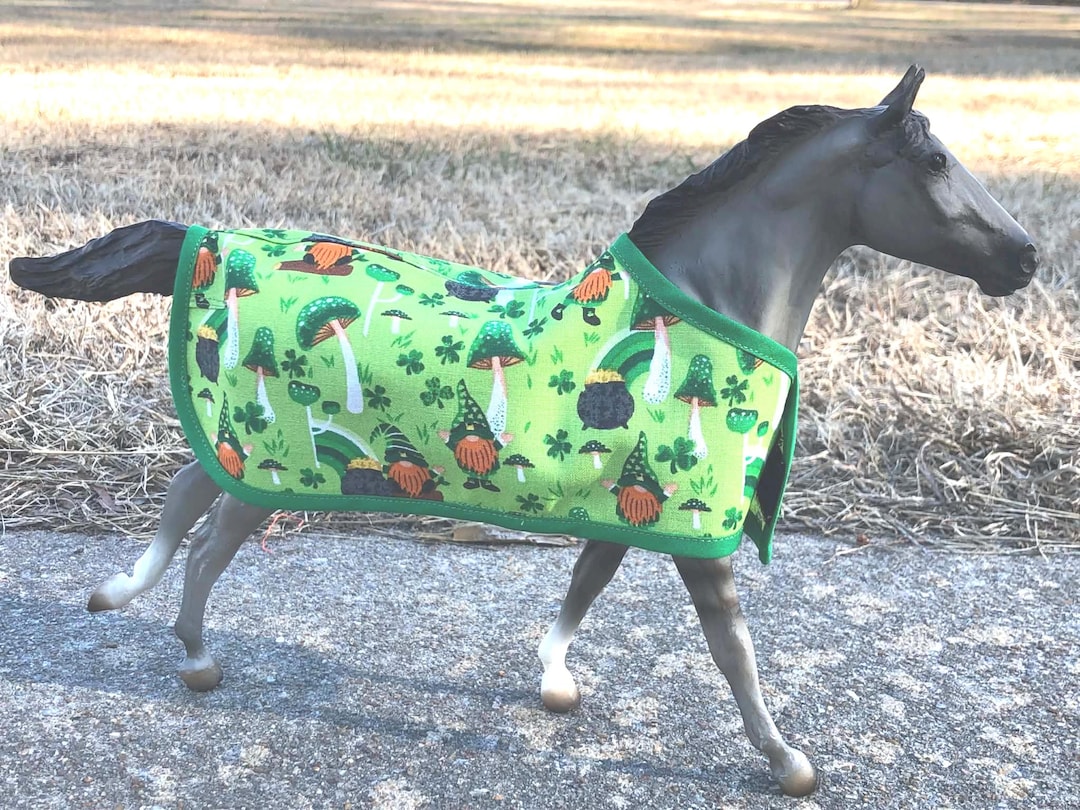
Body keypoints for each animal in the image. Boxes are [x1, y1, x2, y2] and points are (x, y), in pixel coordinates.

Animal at [9, 66, 1037, 797]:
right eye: (934, 164)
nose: (1025, 259)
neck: (693, 308)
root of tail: (211, 240)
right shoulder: (695, 531)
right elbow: (732, 646)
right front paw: (788, 762)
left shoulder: (622, 500)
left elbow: (588, 581)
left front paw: (553, 683)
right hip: (278, 454)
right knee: (202, 518)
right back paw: (160, 627)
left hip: (268, 459)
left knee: (201, 501)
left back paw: (156, 622)